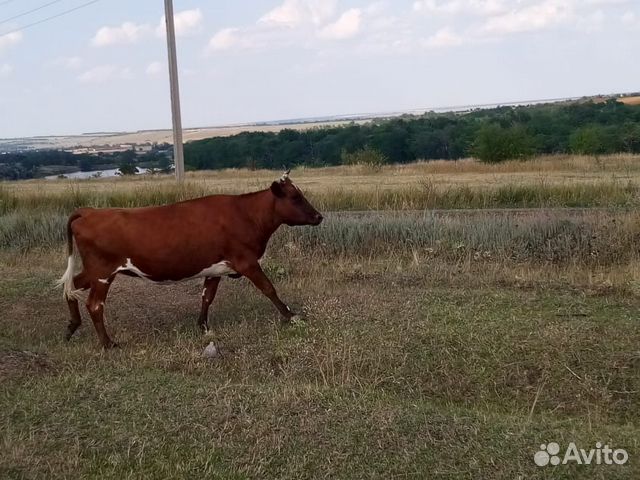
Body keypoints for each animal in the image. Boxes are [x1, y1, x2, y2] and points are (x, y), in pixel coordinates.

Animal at [56, 171, 323, 349]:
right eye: (295, 197)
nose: (319, 216)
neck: (246, 214)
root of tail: (89, 211)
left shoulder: (216, 268)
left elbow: (207, 297)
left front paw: (203, 326)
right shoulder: (246, 262)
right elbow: (269, 288)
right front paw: (291, 316)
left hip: (94, 271)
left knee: (70, 288)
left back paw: (71, 327)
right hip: (103, 271)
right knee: (94, 304)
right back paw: (108, 343)